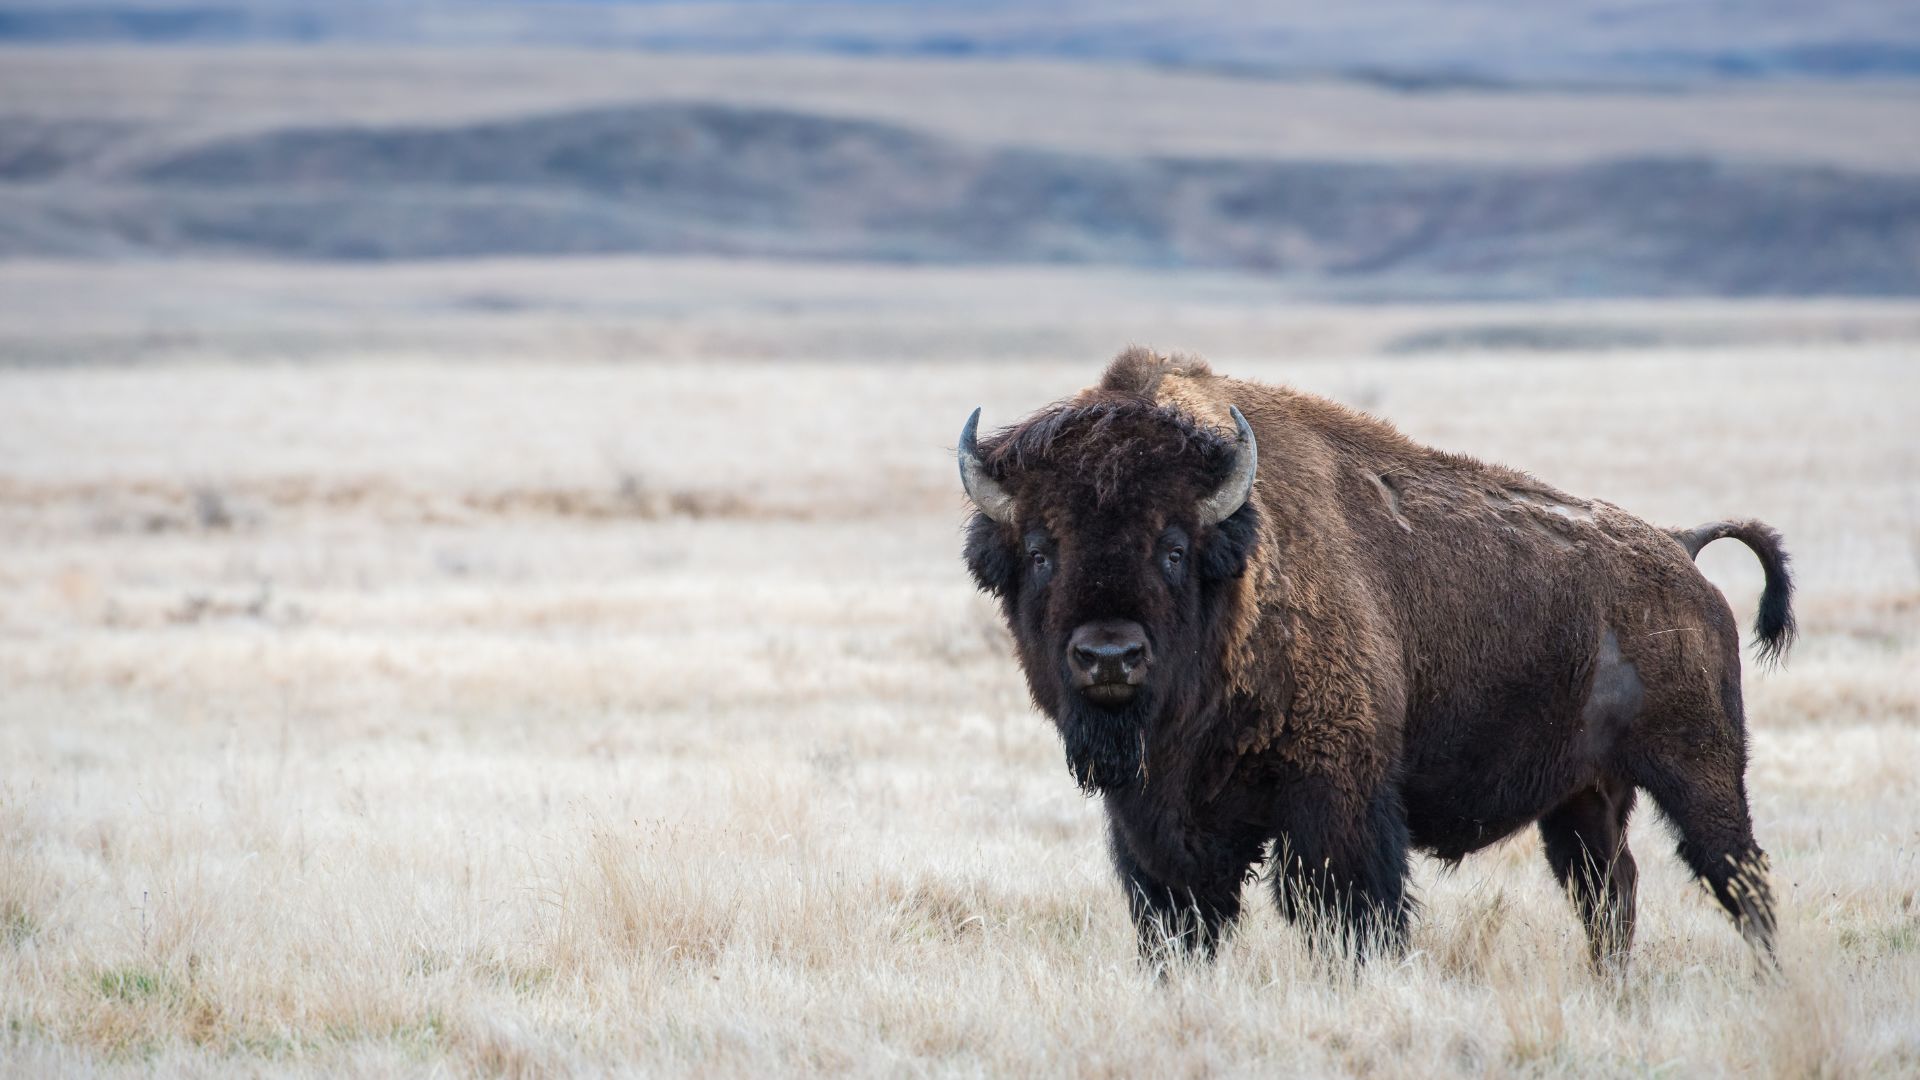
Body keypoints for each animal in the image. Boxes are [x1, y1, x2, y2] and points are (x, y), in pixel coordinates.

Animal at [959, 349, 1793, 968]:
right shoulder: (1156, 825)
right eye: (1041, 551)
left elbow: (1350, 911)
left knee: (1739, 876)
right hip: (1586, 795)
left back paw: (1767, 982)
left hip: (1699, 769)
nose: (1109, 654)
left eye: (1172, 547)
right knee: (1609, 890)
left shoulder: (1338, 796)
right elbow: (1181, 916)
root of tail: (1678, 549)